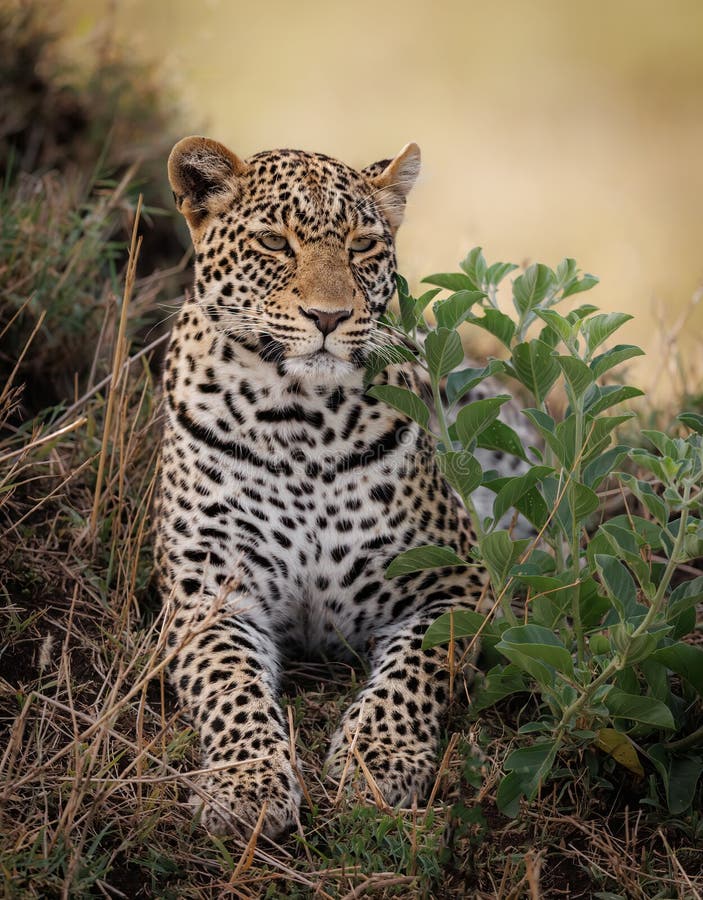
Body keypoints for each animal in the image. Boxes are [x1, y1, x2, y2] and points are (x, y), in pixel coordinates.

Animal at [154, 135, 516, 840]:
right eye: (274, 242)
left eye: (363, 245)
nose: (329, 316)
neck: (300, 421)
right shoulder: (206, 596)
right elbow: (228, 683)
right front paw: (246, 784)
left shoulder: (457, 581)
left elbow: (415, 671)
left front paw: (378, 761)